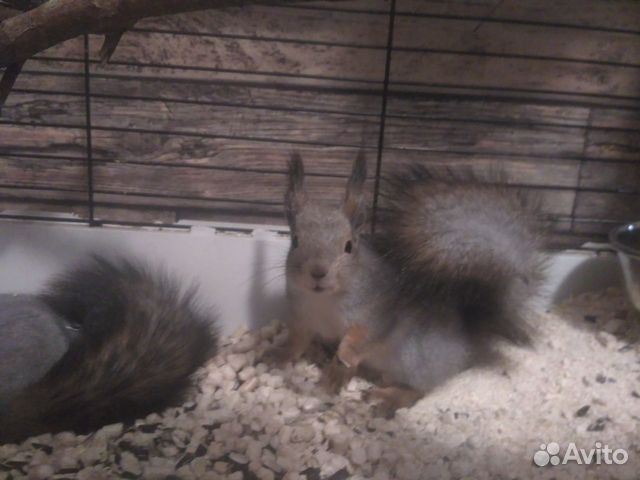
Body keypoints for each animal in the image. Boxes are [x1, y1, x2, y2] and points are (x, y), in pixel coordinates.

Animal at [280, 152, 546, 417]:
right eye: (295, 241)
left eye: (349, 246)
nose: (318, 272)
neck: (324, 301)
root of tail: (467, 337)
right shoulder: (301, 316)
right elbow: (298, 339)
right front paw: (279, 354)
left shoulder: (377, 316)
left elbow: (362, 338)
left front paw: (344, 357)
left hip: (415, 361)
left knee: (418, 391)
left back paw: (386, 397)